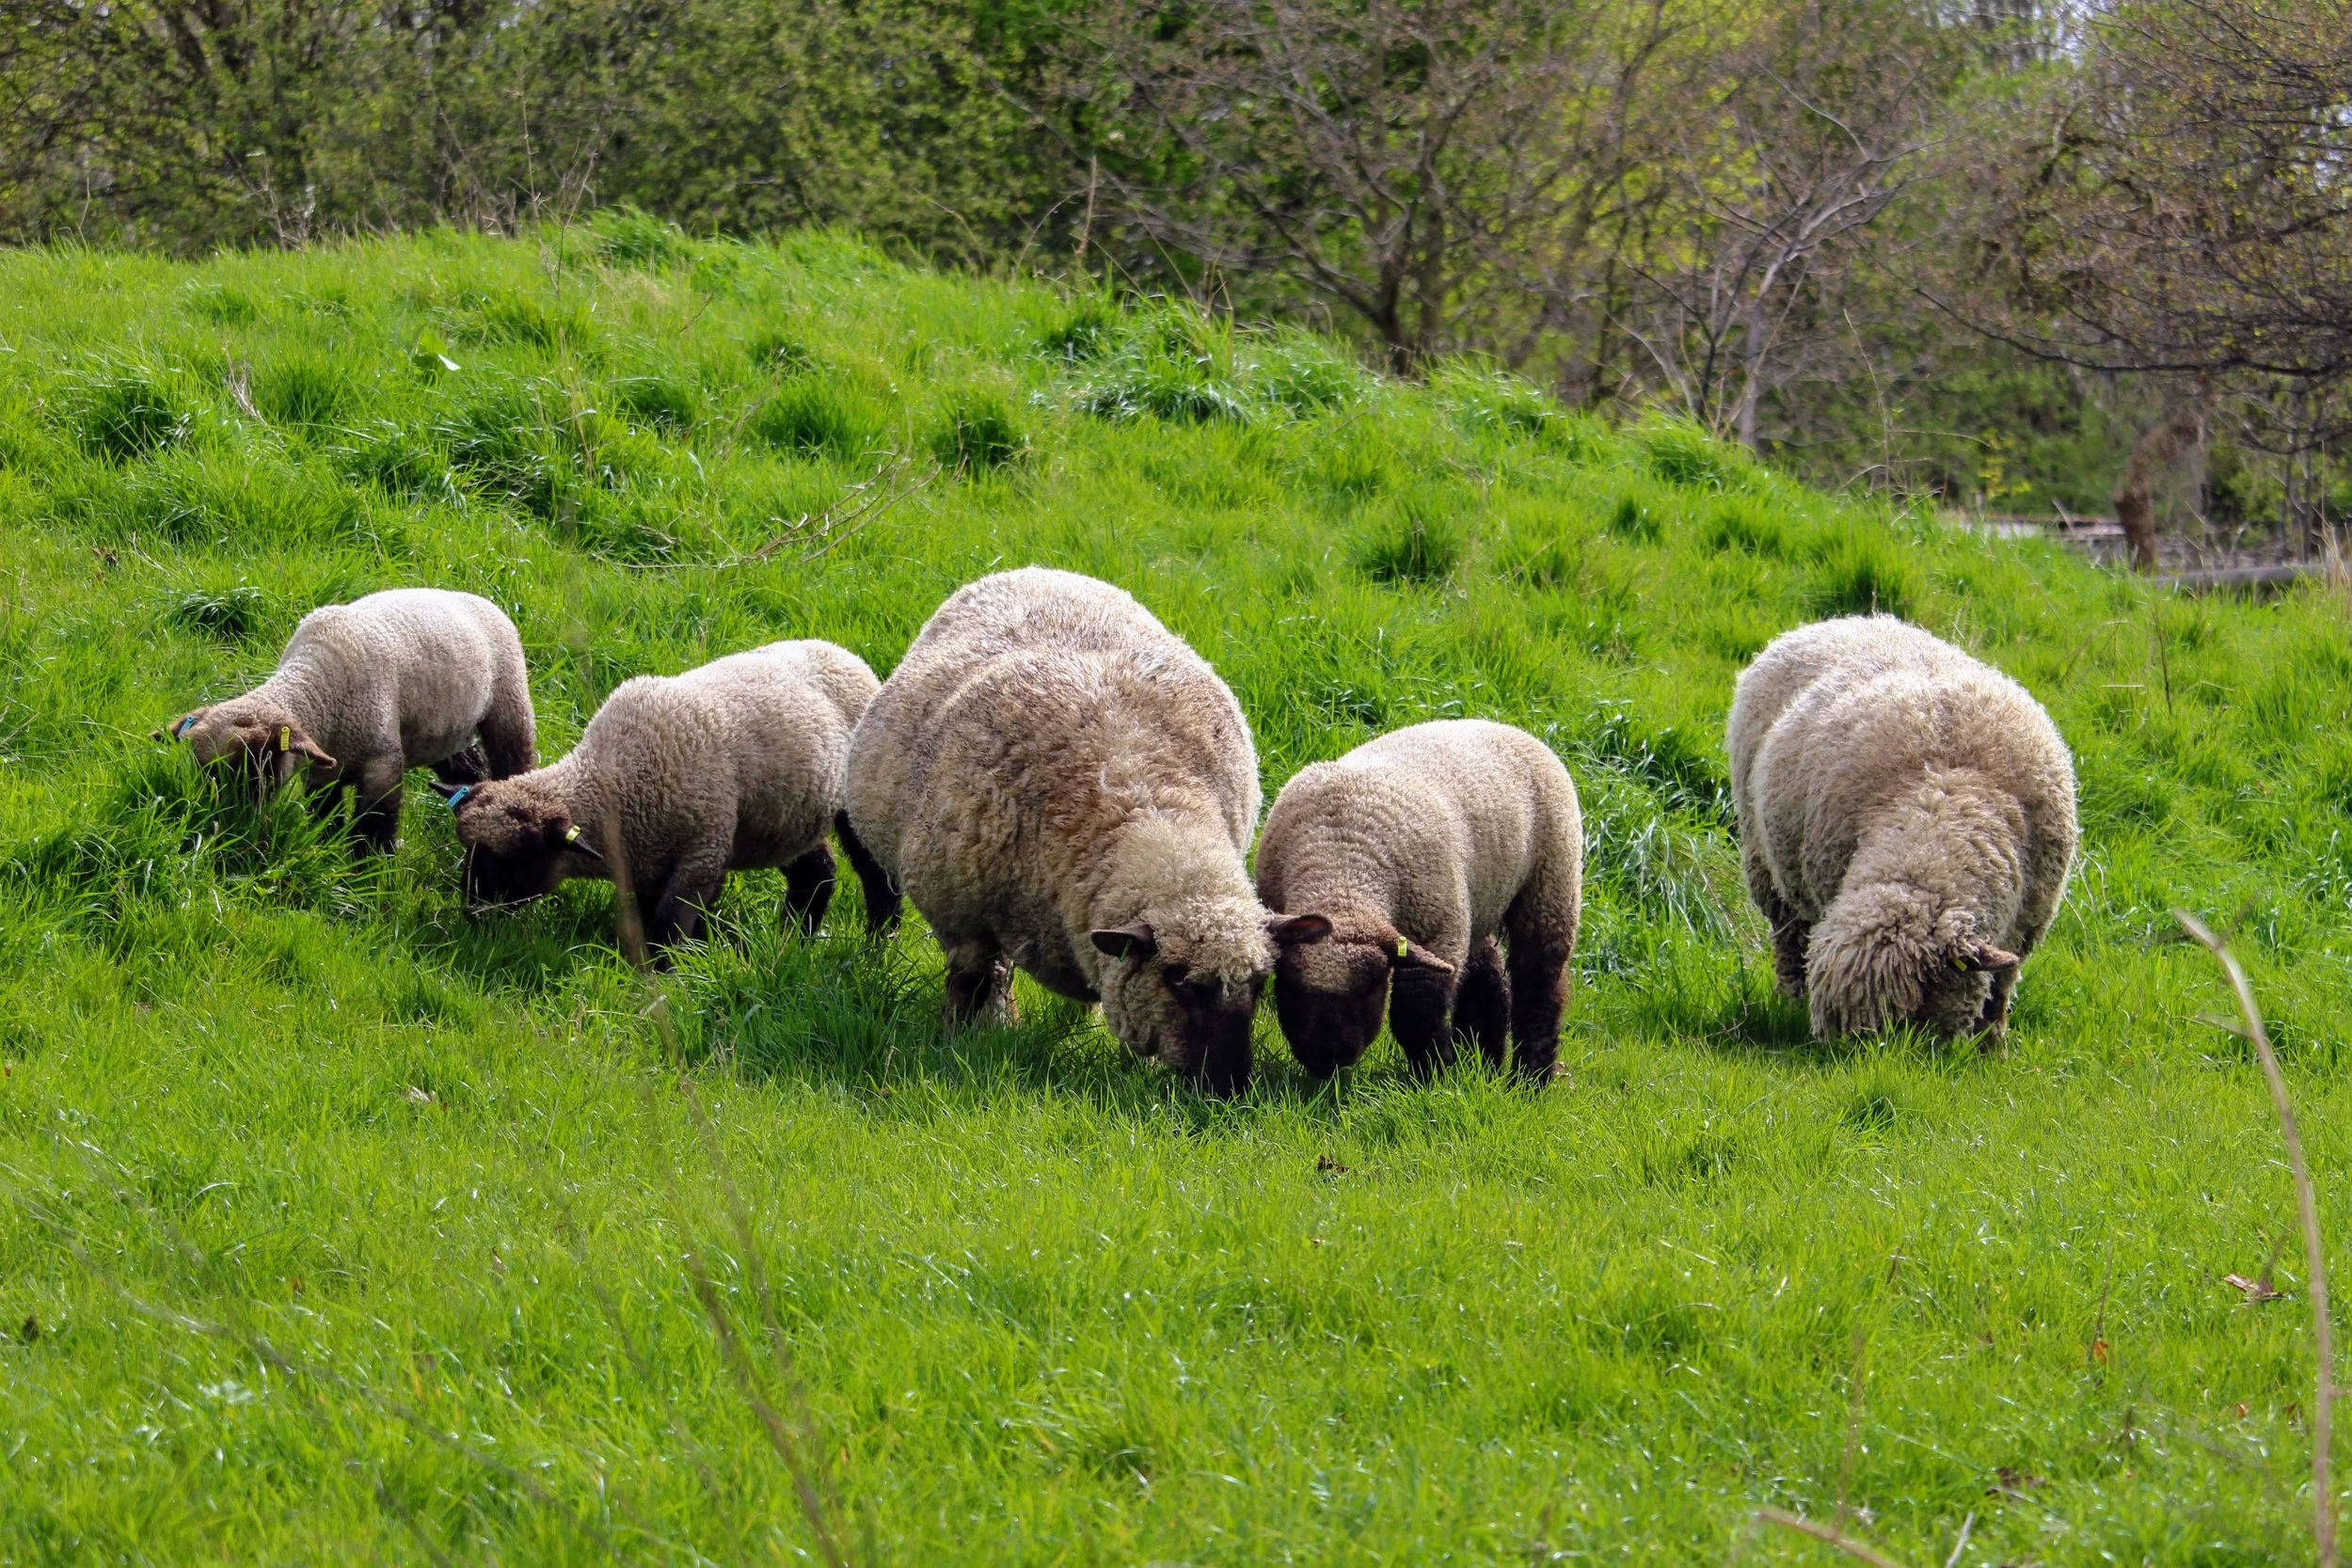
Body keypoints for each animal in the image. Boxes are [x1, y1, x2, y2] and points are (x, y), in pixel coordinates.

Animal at [162, 588, 535, 853]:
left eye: (251, 773)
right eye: (199, 772)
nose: (222, 828)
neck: (316, 686)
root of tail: (478, 598)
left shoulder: (383, 763)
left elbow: (374, 826)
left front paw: (370, 872)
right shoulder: (321, 769)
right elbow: (325, 817)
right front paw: (327, 849)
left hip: (509, 704)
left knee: (516, 759)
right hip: (443, 728)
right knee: (467, 765)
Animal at [441, 639, 893, 959]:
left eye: (516, 857)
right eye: (467, 848)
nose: (472, 913)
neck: (617, 780)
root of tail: (843, 653)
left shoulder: (704, 849)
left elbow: (671, 918)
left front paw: (665, 973)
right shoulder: (648, 860)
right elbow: (648, 915)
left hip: (855, 806)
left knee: (875, 877)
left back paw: (878, 943)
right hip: (783, 814)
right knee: (817, 872)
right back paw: (795, 937)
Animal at [843, 567, 1327, 1095]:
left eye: (1260, 984)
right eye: (1178, 979)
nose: (1231, 1088)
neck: (1144, 809)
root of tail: (1035, 569)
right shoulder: (962, 920)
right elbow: (966, 988)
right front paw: (954, 1045)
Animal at [1254, 720, 1583, 1081]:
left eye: (1371, 987)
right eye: (1288, 986)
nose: (1326, 1058)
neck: (1342, 867)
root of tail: (1501, 725)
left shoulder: (1433, 933)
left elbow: (1416, 1010)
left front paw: (1434, 1075)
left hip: (1551, 882)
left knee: (1539, 985)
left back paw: (1530, 1078)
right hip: (1475, 903)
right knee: (1486, 975)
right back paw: (1485, 1063)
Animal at [1727, 614, 2078, 1041]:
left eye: (1919, 1008)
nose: (1894, 1056)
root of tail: (1840, 621)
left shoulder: (2023, 930)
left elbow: (1999, 994)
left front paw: (1991, 1046)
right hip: (1766, 864)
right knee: (1789, 942)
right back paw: (1790, 998)